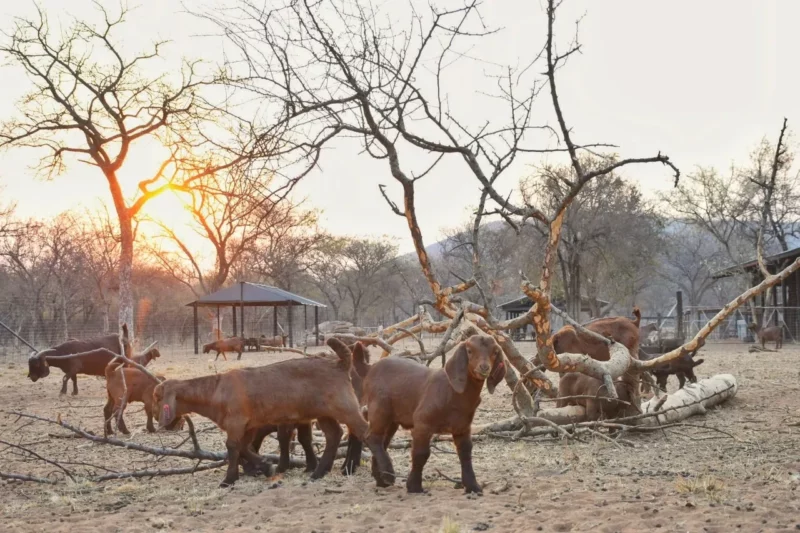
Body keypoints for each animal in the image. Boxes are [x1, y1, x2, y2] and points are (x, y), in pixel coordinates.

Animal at [153, 337, 392, 488]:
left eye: (157, 397)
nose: (159, 421)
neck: (216, 389)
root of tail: (340, 363)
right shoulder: (249, 425)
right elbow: (244, 447)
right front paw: (265, 466)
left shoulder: (236, 422)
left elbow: (233, 447)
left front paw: (229, 479)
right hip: (325, 412)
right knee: (334, 434)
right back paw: (318, 472)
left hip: (345, 407)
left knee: (365, 433)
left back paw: (385, 475)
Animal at [362, 334, 506, 494]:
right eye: (469, 350)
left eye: (495, 352)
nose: (484, 367)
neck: (452, 392)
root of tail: (372, 368)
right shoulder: (422, 423)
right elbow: (421, 453)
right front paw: (414, 486)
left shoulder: (462, 427)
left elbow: (465, 453)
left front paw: (473, 486)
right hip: (379, 407)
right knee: (372, 437)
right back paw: (388, 475)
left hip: (392, 419)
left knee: (382, 441)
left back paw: (381, 479)